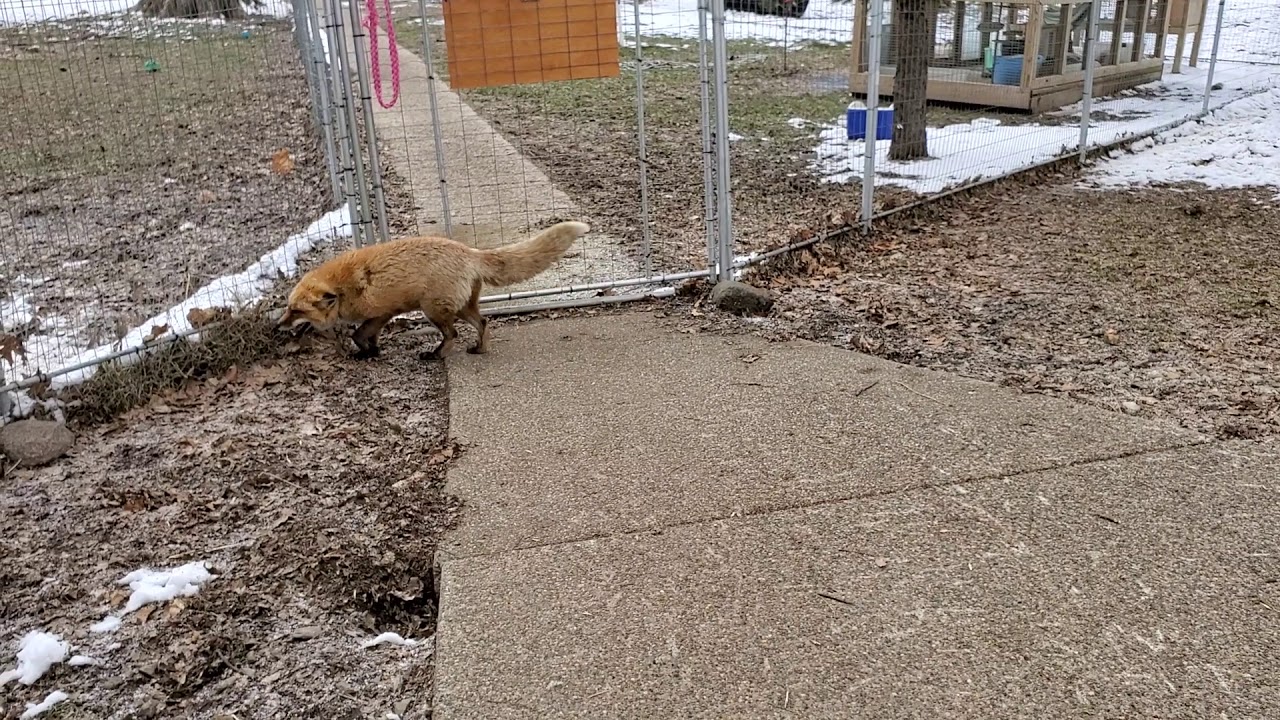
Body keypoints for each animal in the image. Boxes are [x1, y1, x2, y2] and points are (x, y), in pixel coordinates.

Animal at [279, 220, 590, 360]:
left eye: (295, 311)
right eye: (287, 308)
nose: (276, 326)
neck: (343, 288)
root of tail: (470, 252)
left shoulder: (382, 312)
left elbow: (358, 335)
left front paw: (367, 353)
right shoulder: (380, 317)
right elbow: (365, 336)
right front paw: (373, 351)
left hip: (433, 310)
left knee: (452, 334)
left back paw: (436, 354)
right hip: (462, 307)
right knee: (483, 323)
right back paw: (479, 348)